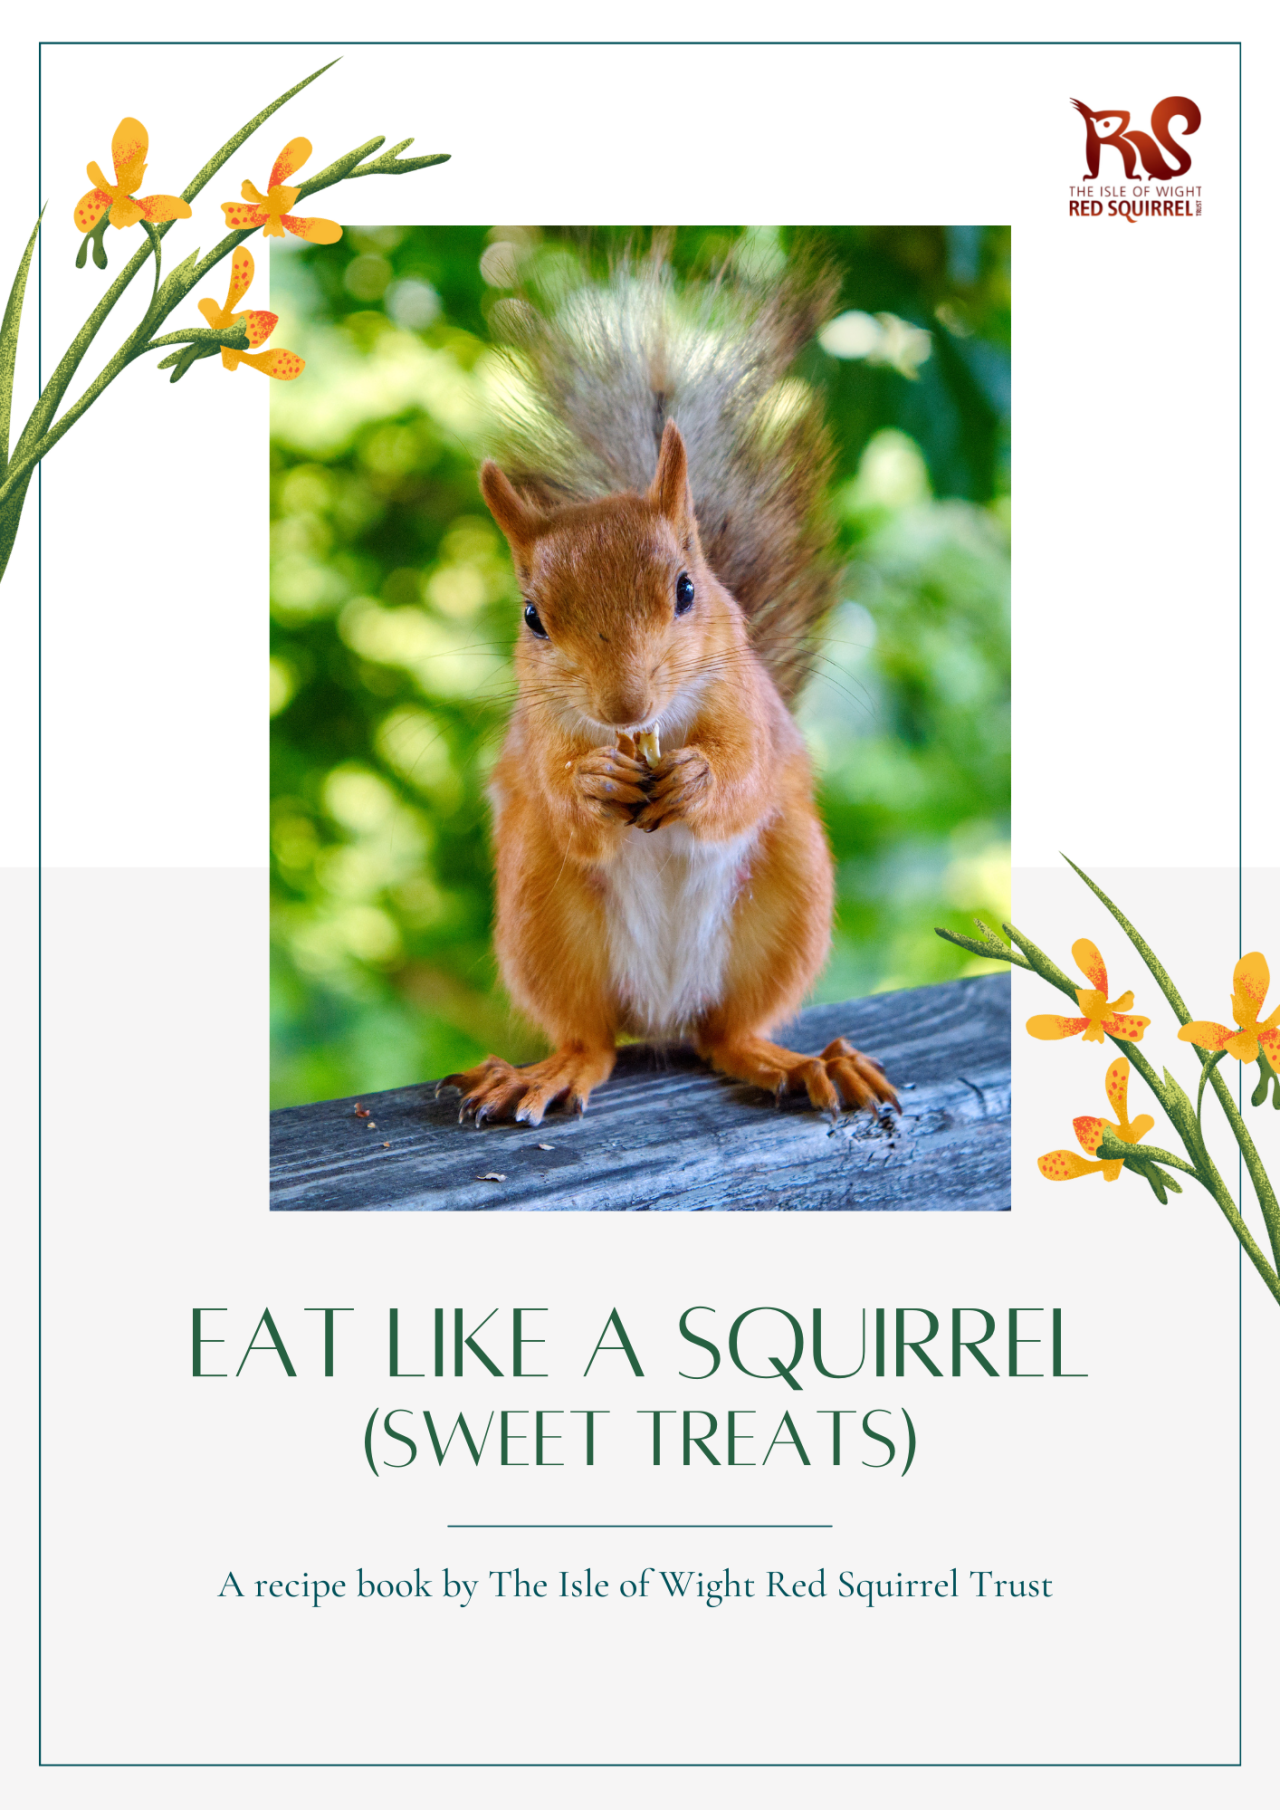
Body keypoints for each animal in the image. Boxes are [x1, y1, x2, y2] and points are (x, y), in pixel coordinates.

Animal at [440, 254, 898, 1129]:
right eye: (532, 617)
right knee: (591, 1039)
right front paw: (593, 780)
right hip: (541, 915)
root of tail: (659, 1012)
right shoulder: (541, 733)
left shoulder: (750, 709)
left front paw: (697, 777)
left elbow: (744, 772)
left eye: (688, 589)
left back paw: (798, 1061)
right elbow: (562, 796)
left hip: (791, 895)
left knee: (729, 1034)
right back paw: (549, 1071)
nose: (625, 709)